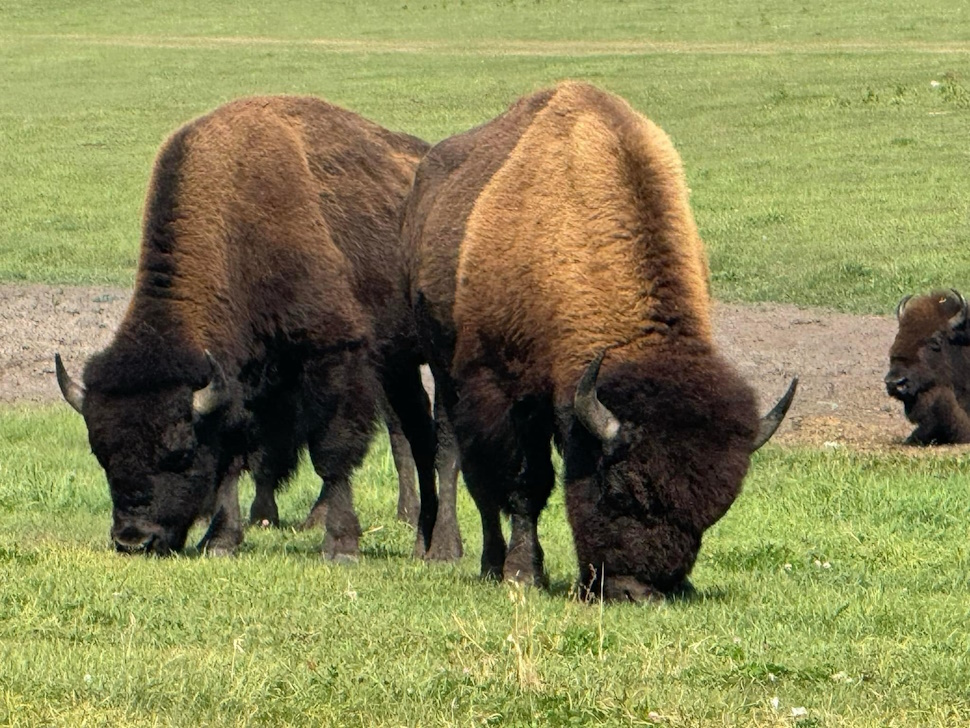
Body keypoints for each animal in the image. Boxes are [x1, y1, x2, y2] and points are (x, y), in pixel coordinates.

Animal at [56, 95, 461, 559]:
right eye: (101, 454)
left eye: (180, 453)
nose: (134, 539)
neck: (241, 229)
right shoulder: (239, 380)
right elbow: (235, 456)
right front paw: (221, 540)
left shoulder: (333, 354)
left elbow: (331, 452)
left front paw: (340, 545)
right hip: (398, 361)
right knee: (417, 433)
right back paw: (422, 537)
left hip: (438, 354)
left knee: (442, 443)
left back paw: (442, 546)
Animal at [404, 81, 795, 601]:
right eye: (618, 491)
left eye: (714, 512)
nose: (640, 592)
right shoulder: (508, 391)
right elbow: (524, 482)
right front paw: (524, 572)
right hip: (445, 369)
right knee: (460, 462)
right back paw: (464, 555)